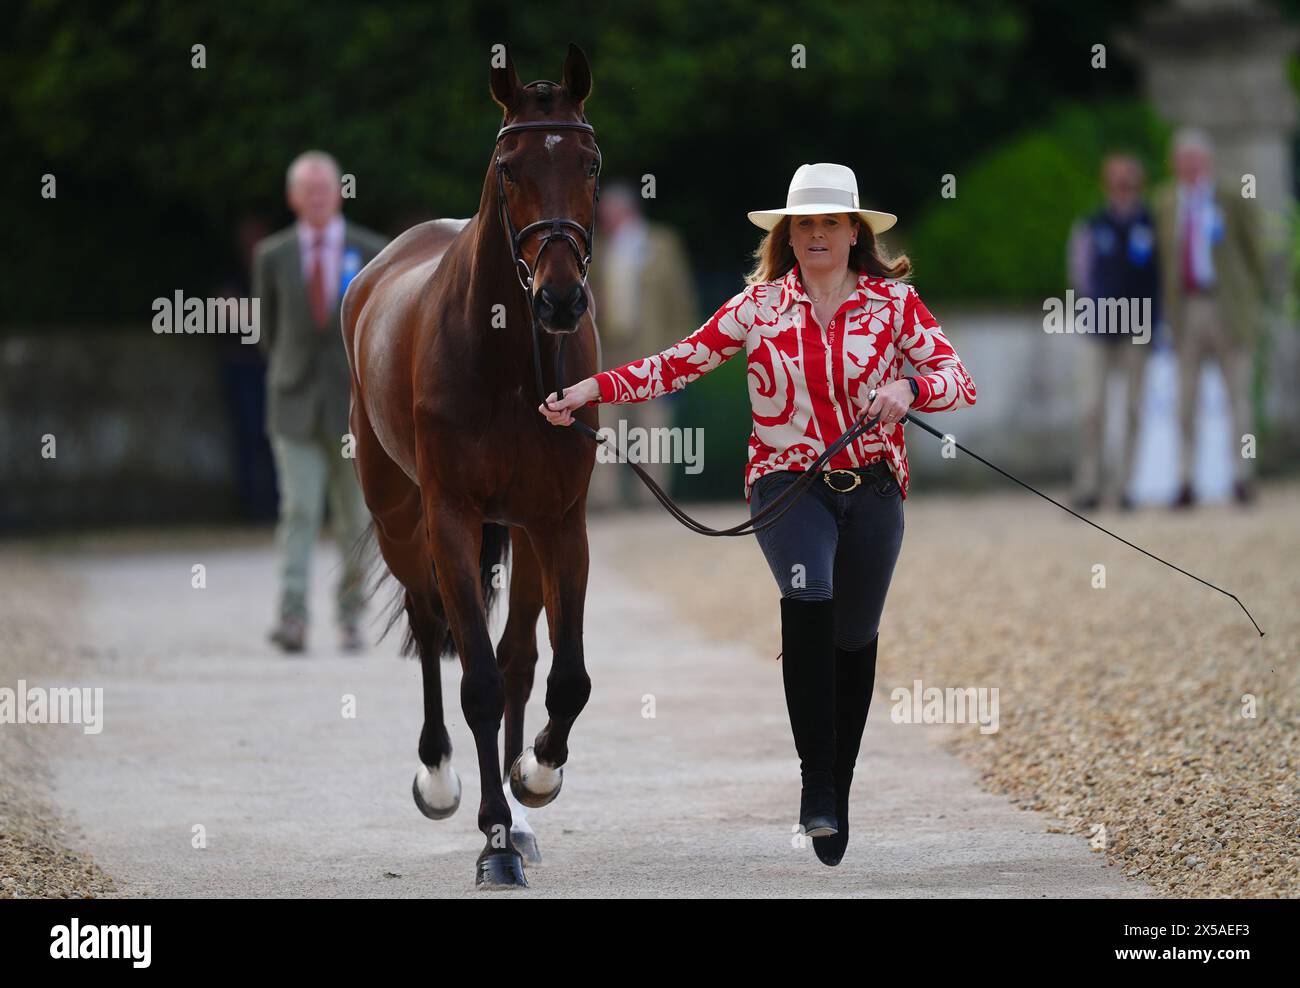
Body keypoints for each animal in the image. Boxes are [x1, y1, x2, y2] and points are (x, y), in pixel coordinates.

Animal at [341, 44, 602, 889]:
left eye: (589, 164)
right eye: (509, 168)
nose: (559, 298)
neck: (507, 359)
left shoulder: (558, 519)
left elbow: (562, 674)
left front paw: (536, 776)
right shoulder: (450, 517)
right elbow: (478, 681)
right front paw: (493, 841)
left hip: (517, 528)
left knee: (519, 652)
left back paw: (523, 805)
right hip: (400, 518)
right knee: (430, 625)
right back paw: (439, 777)